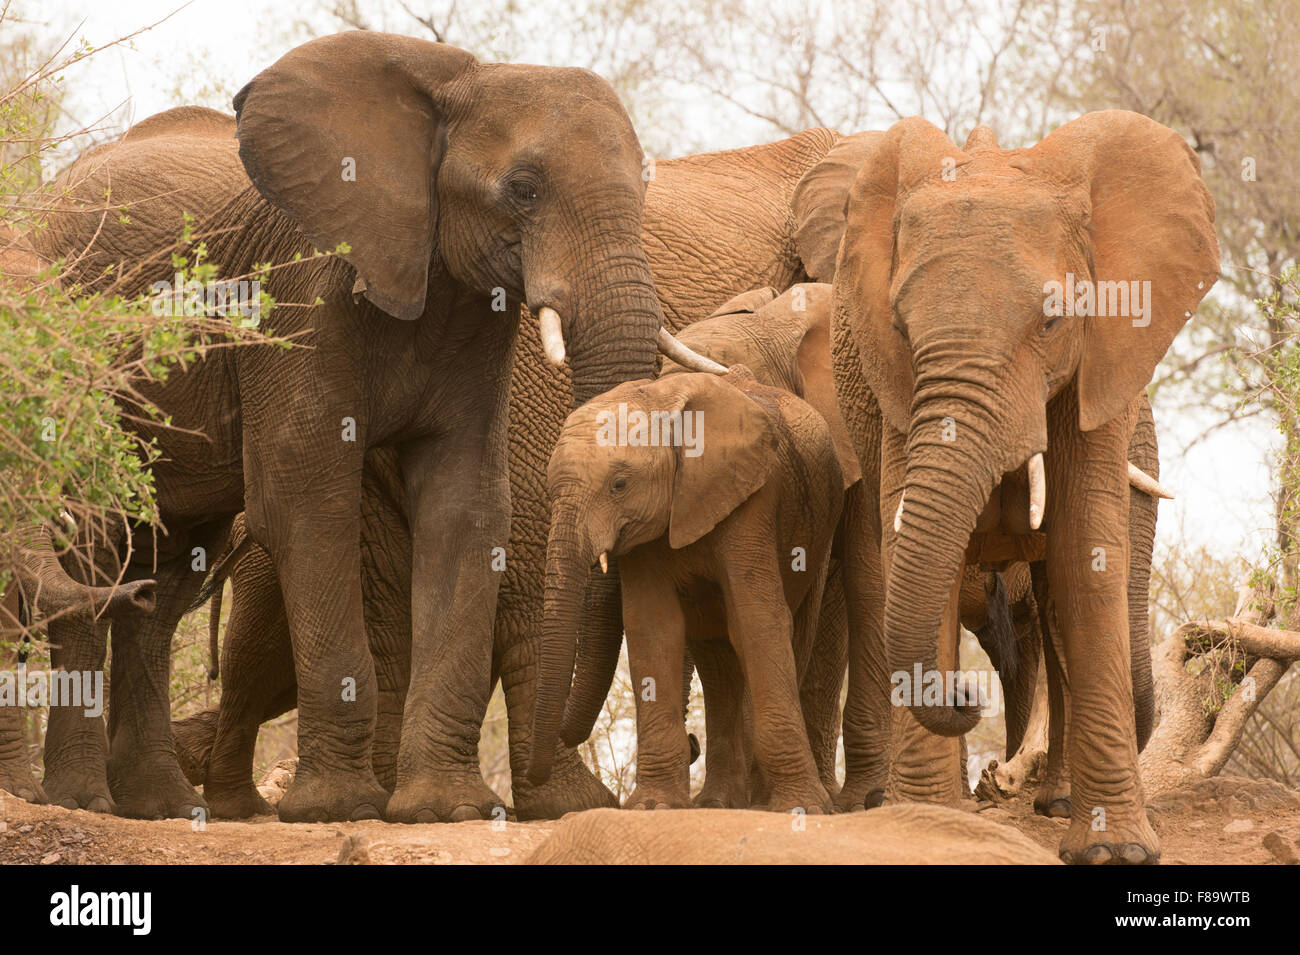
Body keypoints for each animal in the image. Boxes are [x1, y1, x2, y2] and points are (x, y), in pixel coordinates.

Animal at [32, 30, 725, 824]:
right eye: (522, 189)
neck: (458, 82)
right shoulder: (298, 291)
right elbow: (307, 502)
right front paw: (339, 807)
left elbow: (466, 504)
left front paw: (446, 808)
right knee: (94, 552)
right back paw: (86, 801)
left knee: (165, 575)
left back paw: (166, 807)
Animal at [528, 368, 849, 814]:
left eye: (619, 484)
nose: (534, 772)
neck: (660, 400)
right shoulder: (645, 533)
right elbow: (653, 628)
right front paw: (653, 807)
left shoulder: (752, 501)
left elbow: (758, 620)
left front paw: (800, 808)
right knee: (717, 660)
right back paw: (718, 803)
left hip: (819, 531)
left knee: (792, 633)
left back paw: (759, 801)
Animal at [800, 113, 1218, 863]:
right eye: (900, 326)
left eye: (1053, 320)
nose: (966, 696)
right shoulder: (896, 394)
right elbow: (912, 551)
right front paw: (931, 828)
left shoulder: (1094, 378)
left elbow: (1086, 554)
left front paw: (1116, 851)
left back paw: (1055, 803)